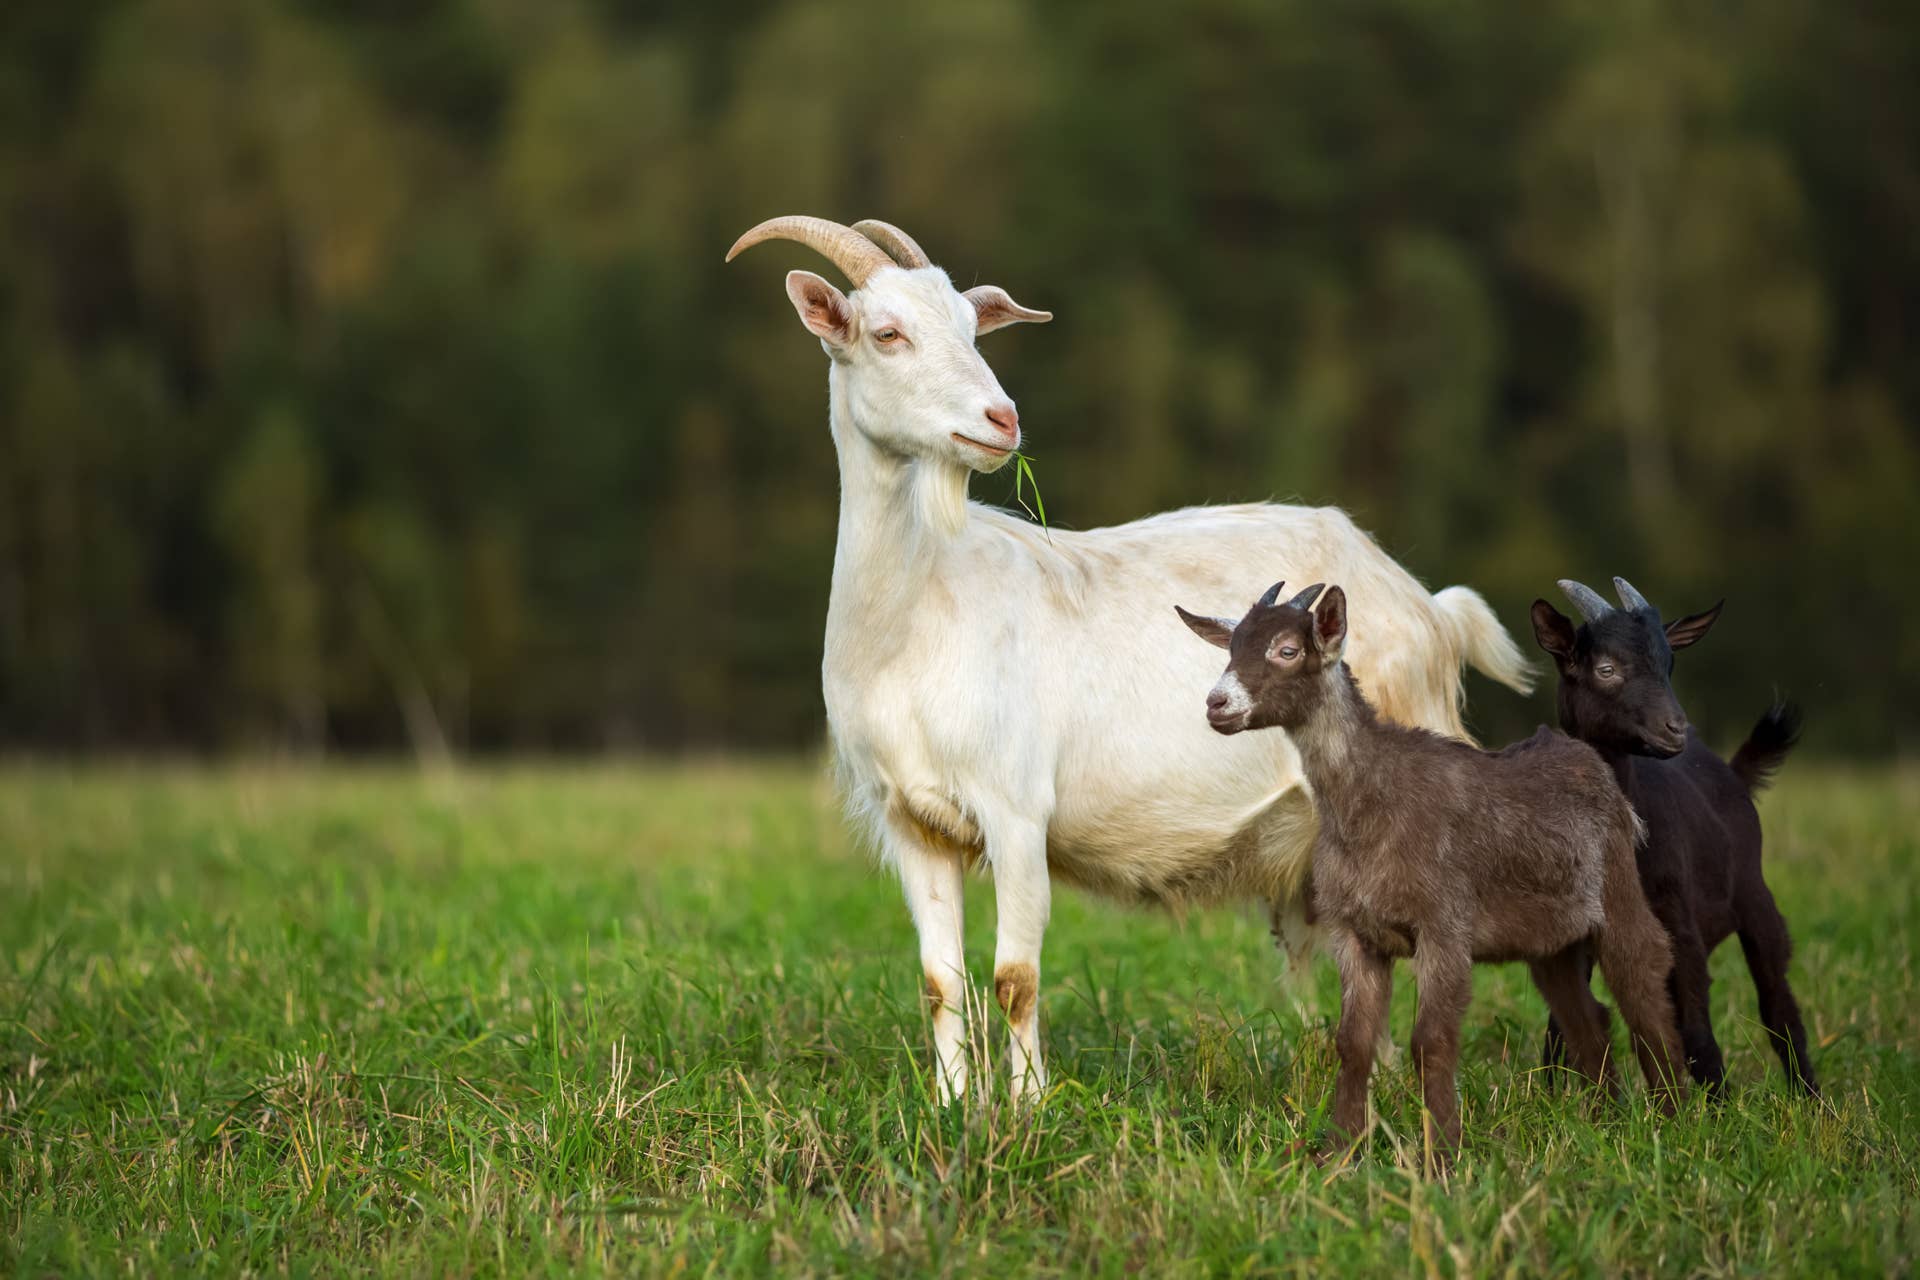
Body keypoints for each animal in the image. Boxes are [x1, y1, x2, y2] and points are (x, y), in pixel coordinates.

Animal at [728, 215, 1535, 1103]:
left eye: (974, 330)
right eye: (887, 333)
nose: (1001, 419)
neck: (915, 616)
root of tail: (1430, 608)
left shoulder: (1016, 808)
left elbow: (1015, 978)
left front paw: (1027, 1109)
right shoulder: (912, 822)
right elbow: (941, 981)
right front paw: (952, 1107)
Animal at [1181, 581, 1684, 1160]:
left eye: (1286, 650)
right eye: (1232, 647)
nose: (1217, 704)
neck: (1370, 801)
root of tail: (1590, 763)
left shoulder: (1444, 925)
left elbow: (1432, 1042)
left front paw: (1442, 1155)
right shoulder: (1355, 932)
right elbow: (1352, 1043)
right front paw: (1337, 1152)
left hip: (1618, 886)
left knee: (1644, 979)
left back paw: (1675, 1118)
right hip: (1551, 941)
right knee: (1588, 1017)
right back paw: (1605, 1120)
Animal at [1533, 578, 1817, 1095]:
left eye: (1669, 664)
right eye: (1606, 668)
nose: (1675, 729)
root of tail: (1732, 772)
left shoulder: (1678, 921)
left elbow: (1698, 1030)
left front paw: (1718, 1109)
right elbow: (1563, 1025)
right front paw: (1551, 1098)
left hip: (1755, 897)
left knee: (1779, 1008)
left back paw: (1810, 1100)